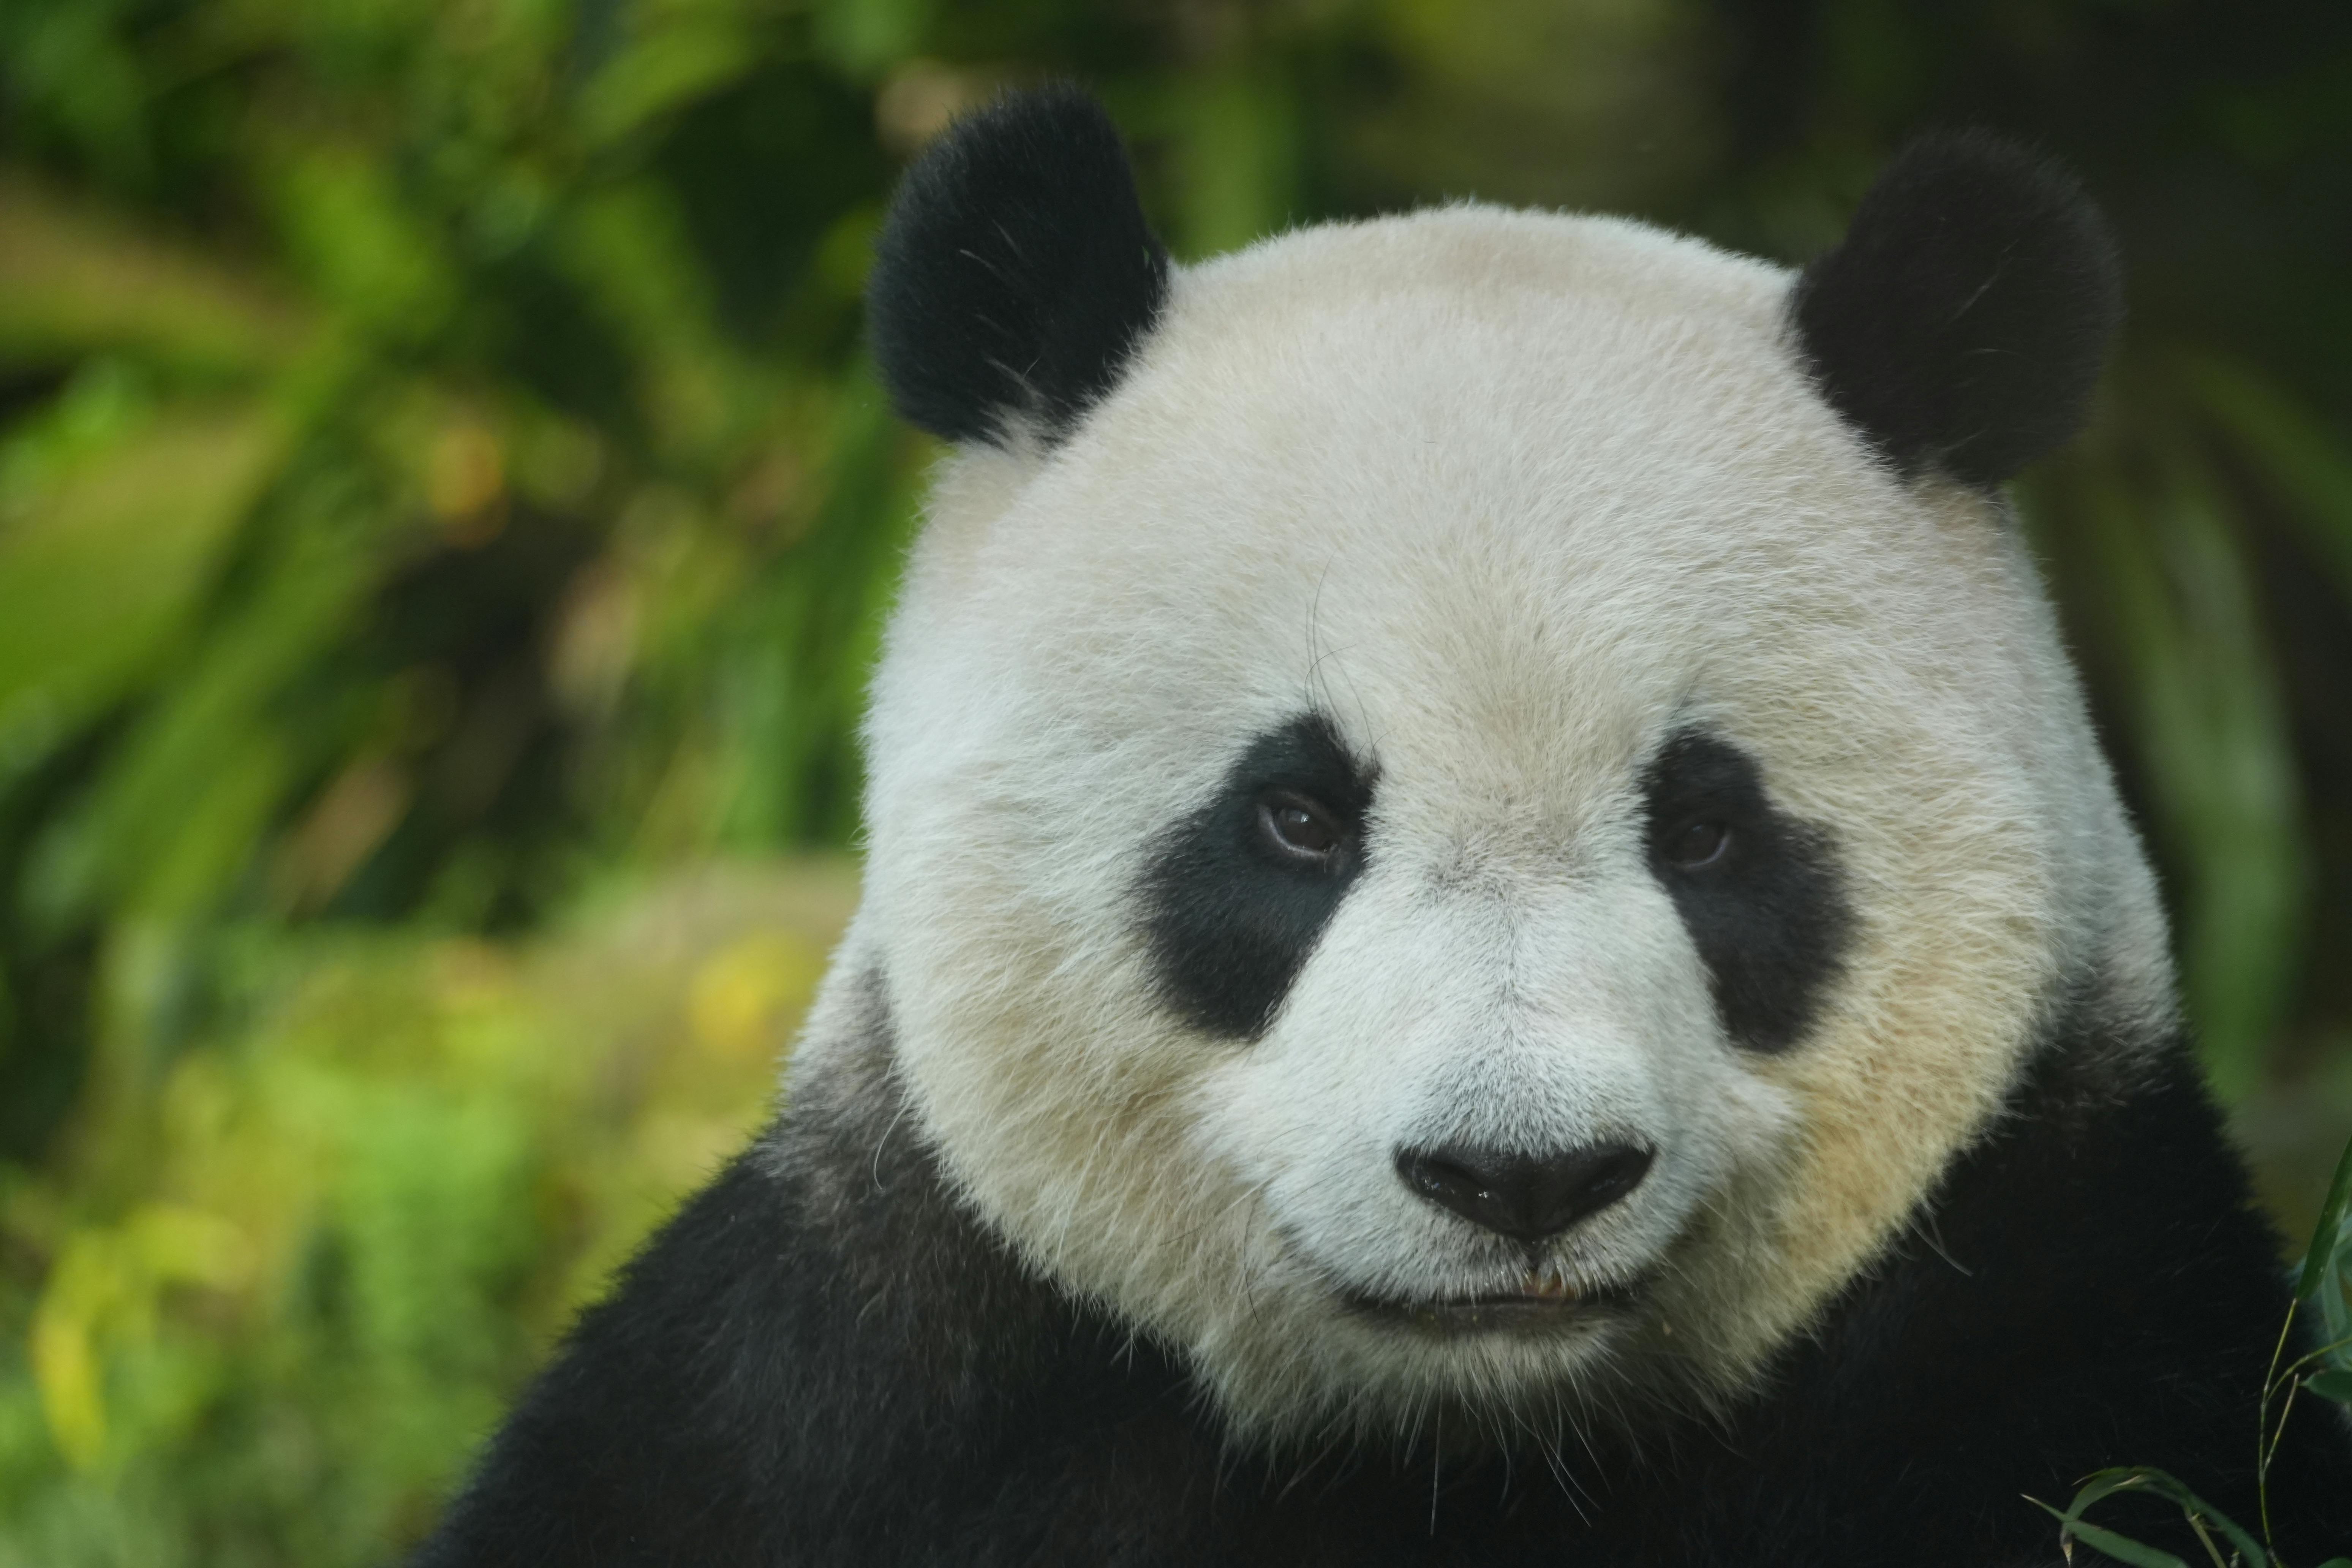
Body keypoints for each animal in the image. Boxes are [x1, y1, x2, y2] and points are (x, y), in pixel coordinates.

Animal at [415, 86, 2352, 1565]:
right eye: (1294, 816)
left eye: (1705, 832)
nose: (1522, 1174)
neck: (1466, 1442)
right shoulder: (859, 1386)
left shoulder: (2058, 1307)